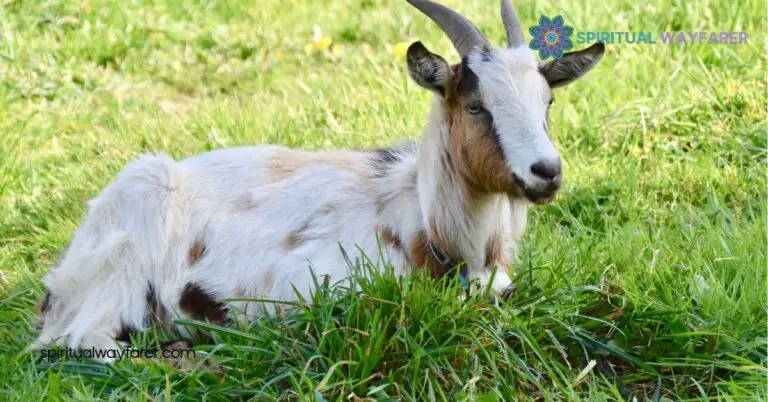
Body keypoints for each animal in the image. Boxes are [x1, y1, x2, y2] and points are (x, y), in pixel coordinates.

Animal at [32, 0, 605, 357]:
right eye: (476, 105)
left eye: (547, 102)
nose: (547, 173)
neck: (429, 226)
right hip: (122, 264)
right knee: (83, 343)